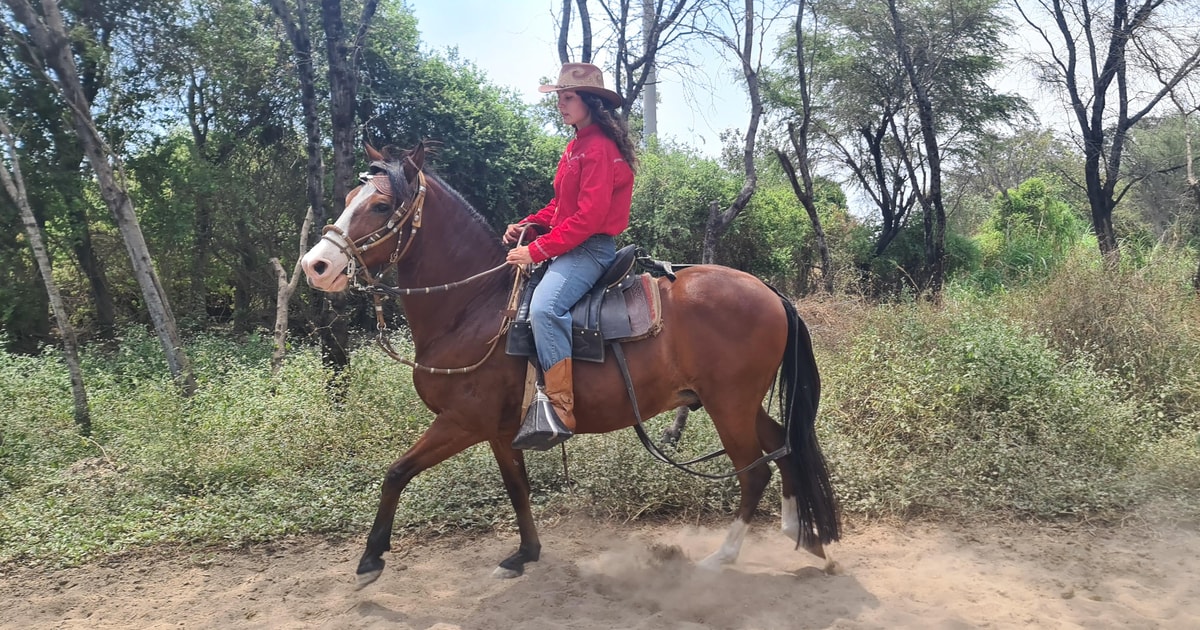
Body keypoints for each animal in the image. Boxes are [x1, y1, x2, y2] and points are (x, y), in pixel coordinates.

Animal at [299, 142, 840, 587]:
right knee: (783, 447)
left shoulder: (462, 421)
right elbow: (517, 488)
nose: (316, 266)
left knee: (755, 472)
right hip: (739, 403)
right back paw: (804, 536)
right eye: (350, 195)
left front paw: (370, 560)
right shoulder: (500, 430)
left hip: (729, 405)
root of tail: (771, 293)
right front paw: (524, 554)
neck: (476, 306)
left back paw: (723, 557)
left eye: (381, 205)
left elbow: (396, 472)